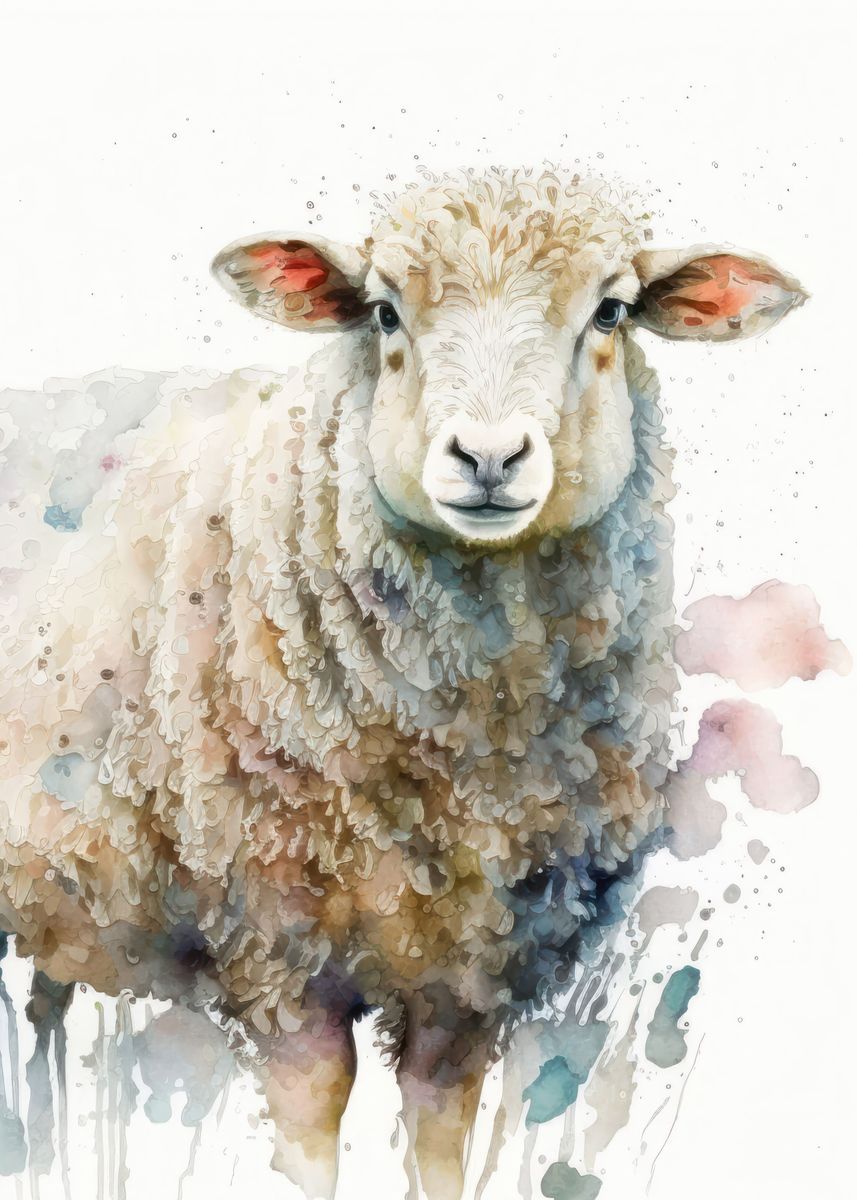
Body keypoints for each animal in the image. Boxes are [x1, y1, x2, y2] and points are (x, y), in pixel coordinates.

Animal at [0, 168, 805, 1200]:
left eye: (612, 311)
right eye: (384, 311)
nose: (489, 458)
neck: (464, 752)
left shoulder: (472, 974)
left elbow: (438, 1136)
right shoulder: (280, 955)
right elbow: (312, 1140)